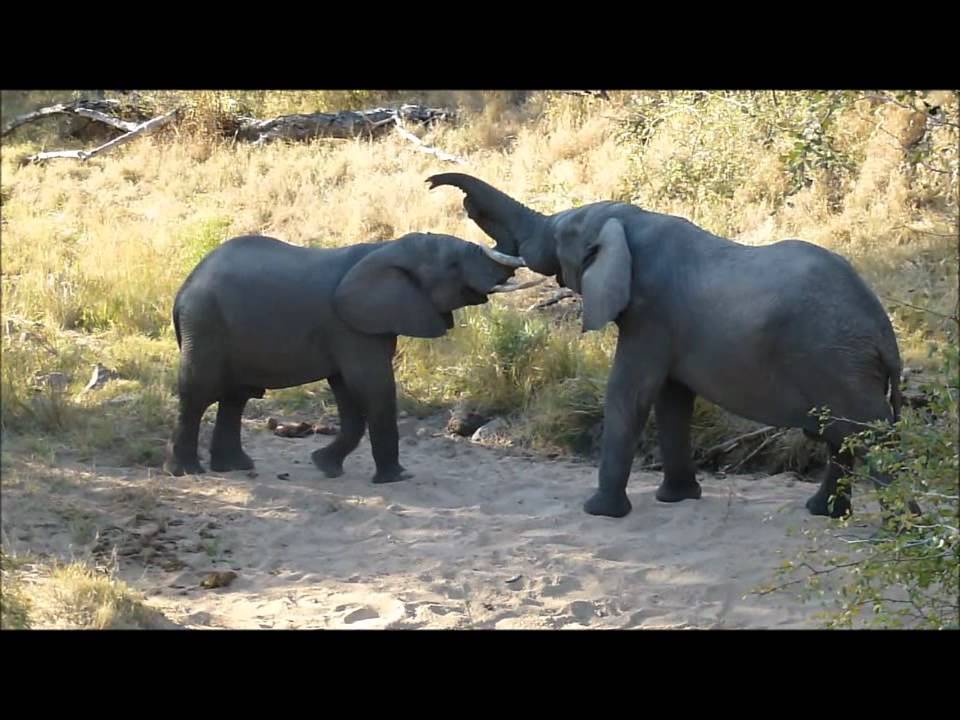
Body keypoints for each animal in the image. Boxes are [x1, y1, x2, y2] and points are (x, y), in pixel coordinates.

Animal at [163, 232, 535, 483]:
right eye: (454, 265)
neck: (386, 248)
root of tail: (184, 288)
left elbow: (348, 393)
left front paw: (324, 465)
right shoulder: (350, 326)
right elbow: (371, 386)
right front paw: (396, 477)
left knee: (235, 396)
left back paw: (236, 466)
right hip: (205, 323)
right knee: (198, 392)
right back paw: (188, 471)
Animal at [426, 172, 909, 519]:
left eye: (558, 235)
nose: (433, 185)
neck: (632, 222)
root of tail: (887, 338)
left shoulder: (650, 315)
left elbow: (629, 394)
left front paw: (599, 512)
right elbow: (671, 400)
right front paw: (677, 499)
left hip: (838, 364)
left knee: (867, 438)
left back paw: (901, 531)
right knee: (843, 439)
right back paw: (824, 514)